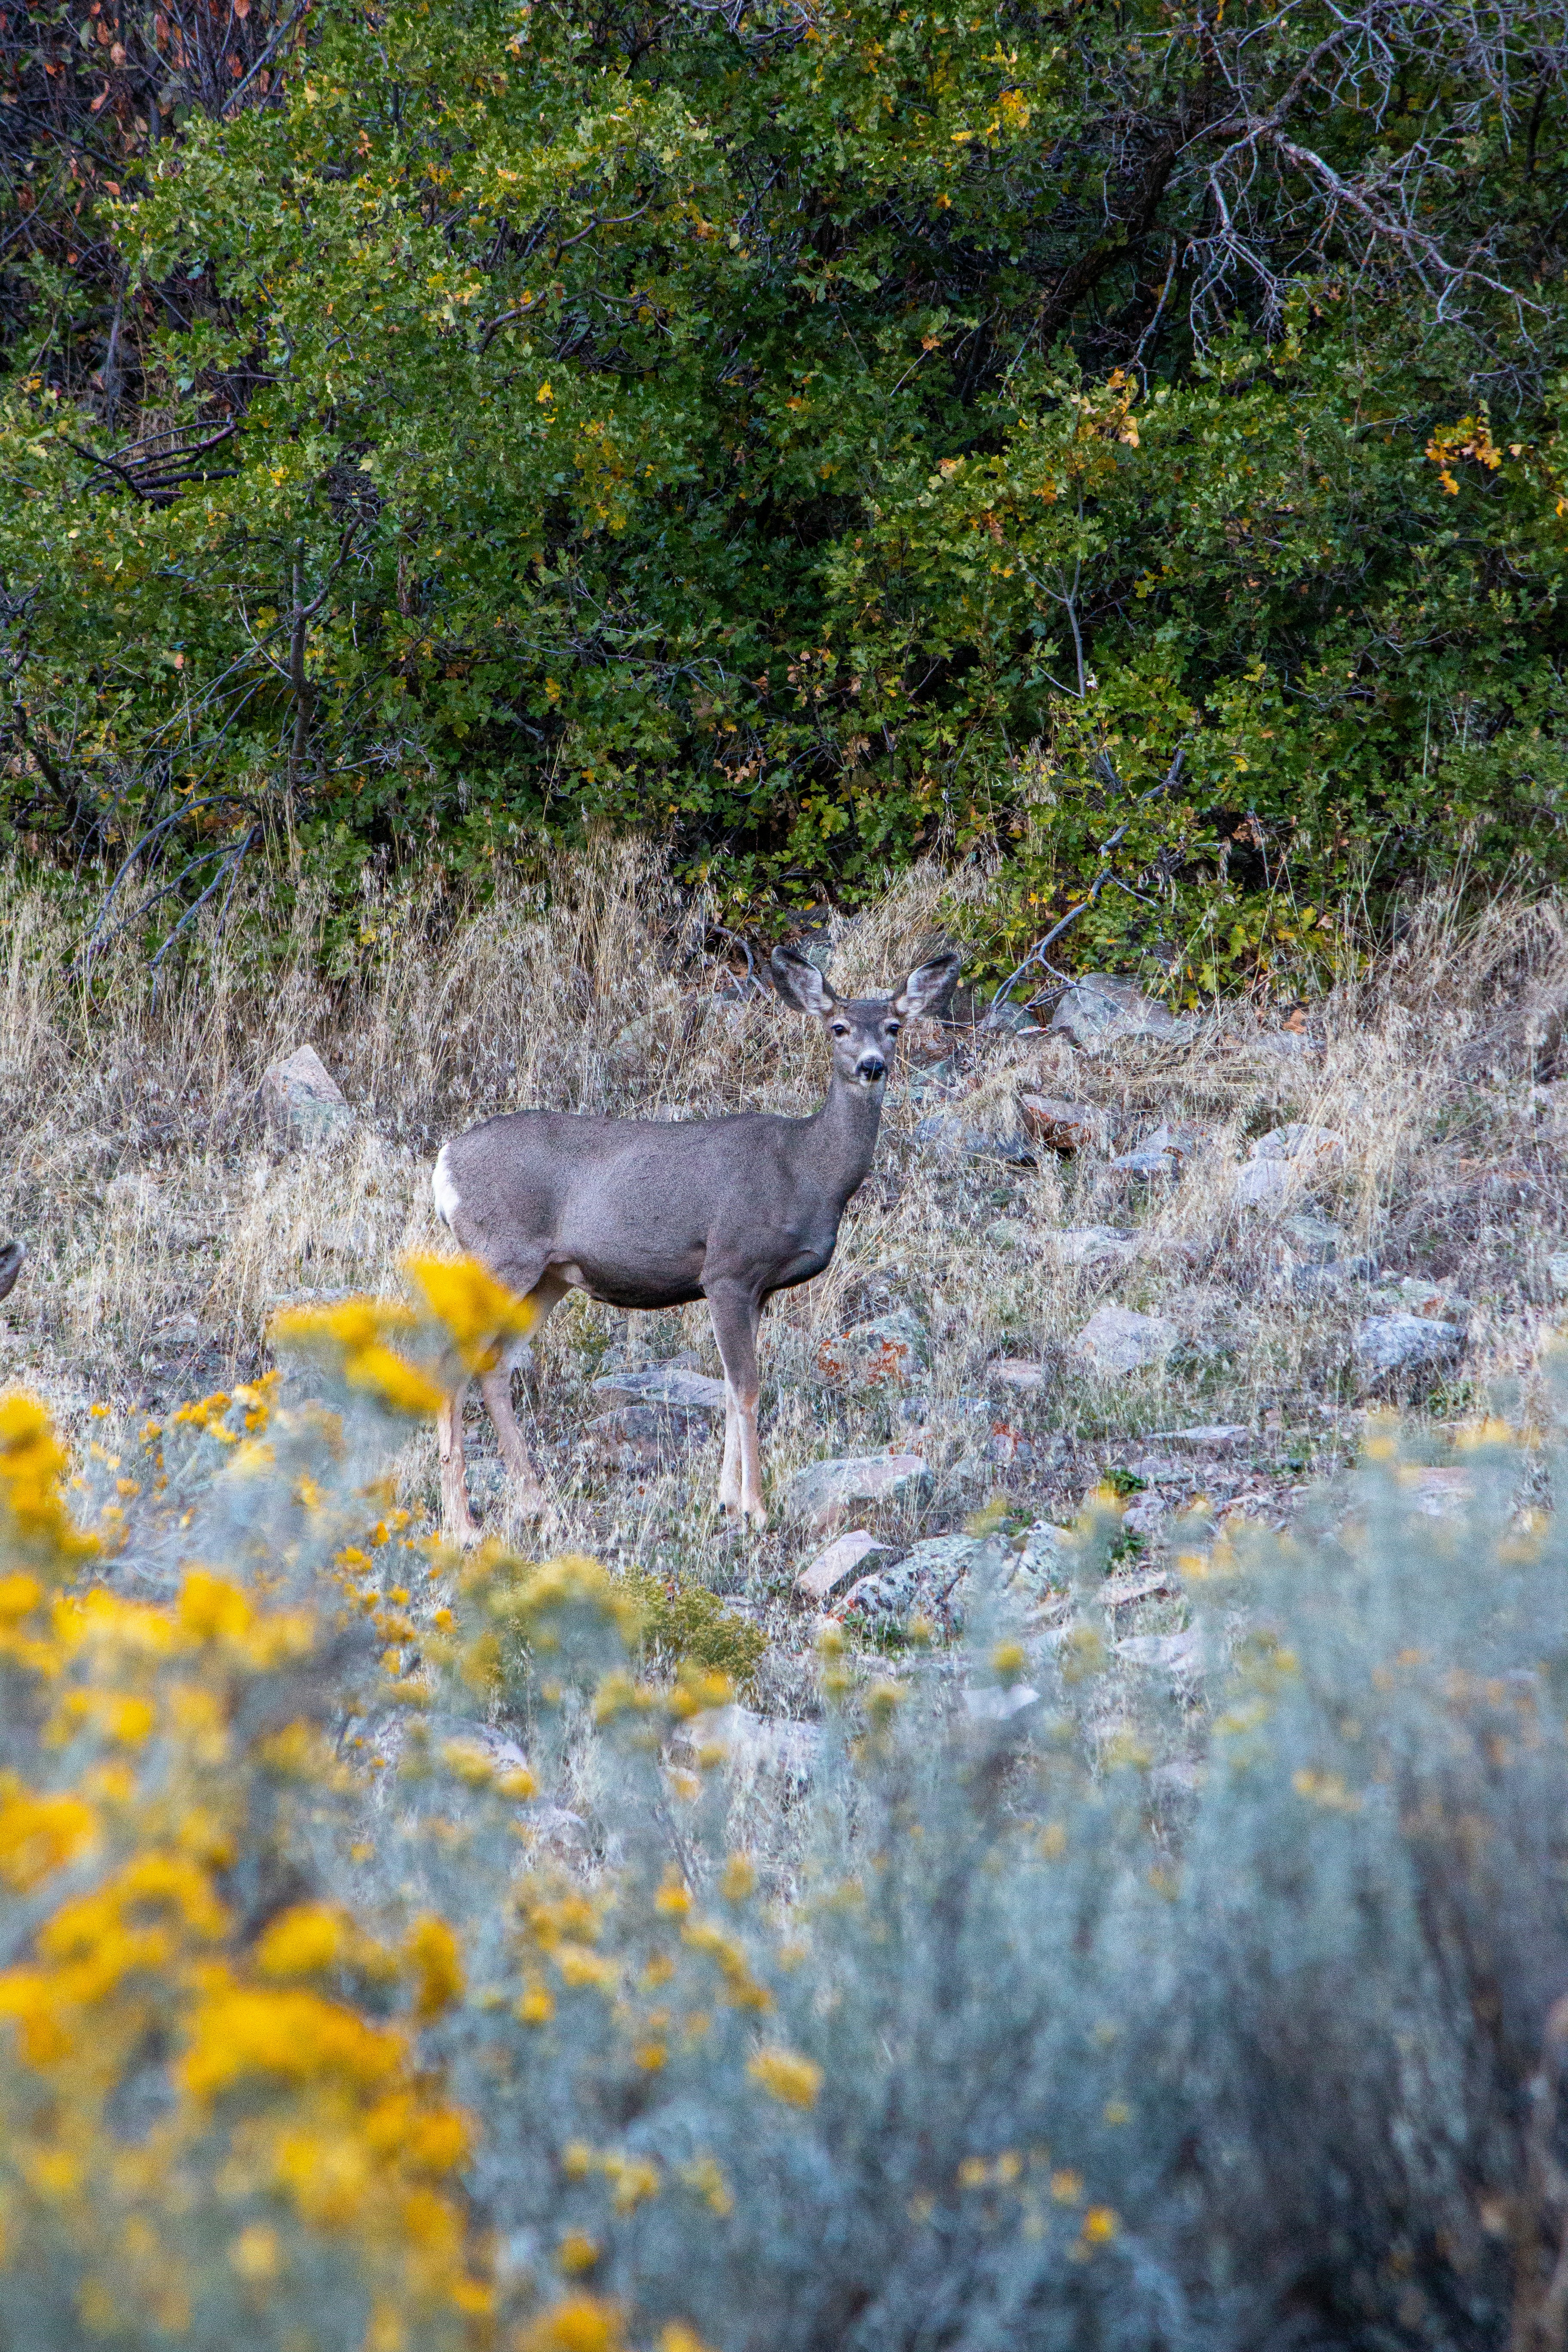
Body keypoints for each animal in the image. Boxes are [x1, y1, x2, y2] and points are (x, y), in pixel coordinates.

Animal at [430, 941, 961, 1538]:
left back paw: (534, 1505)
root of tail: (444, 1164)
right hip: (501, 1255)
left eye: (894, 1026)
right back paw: (463, 1526)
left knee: (494, 1366)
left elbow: (730, 1389)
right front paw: (755, 1508)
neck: (806, 1171)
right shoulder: (728, 1268)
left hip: (548, 1276)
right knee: (450, 1365)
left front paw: (725, 1501)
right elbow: (747, 1387)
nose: (872, 1065)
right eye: (839, 1027)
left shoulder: (759, 1289)